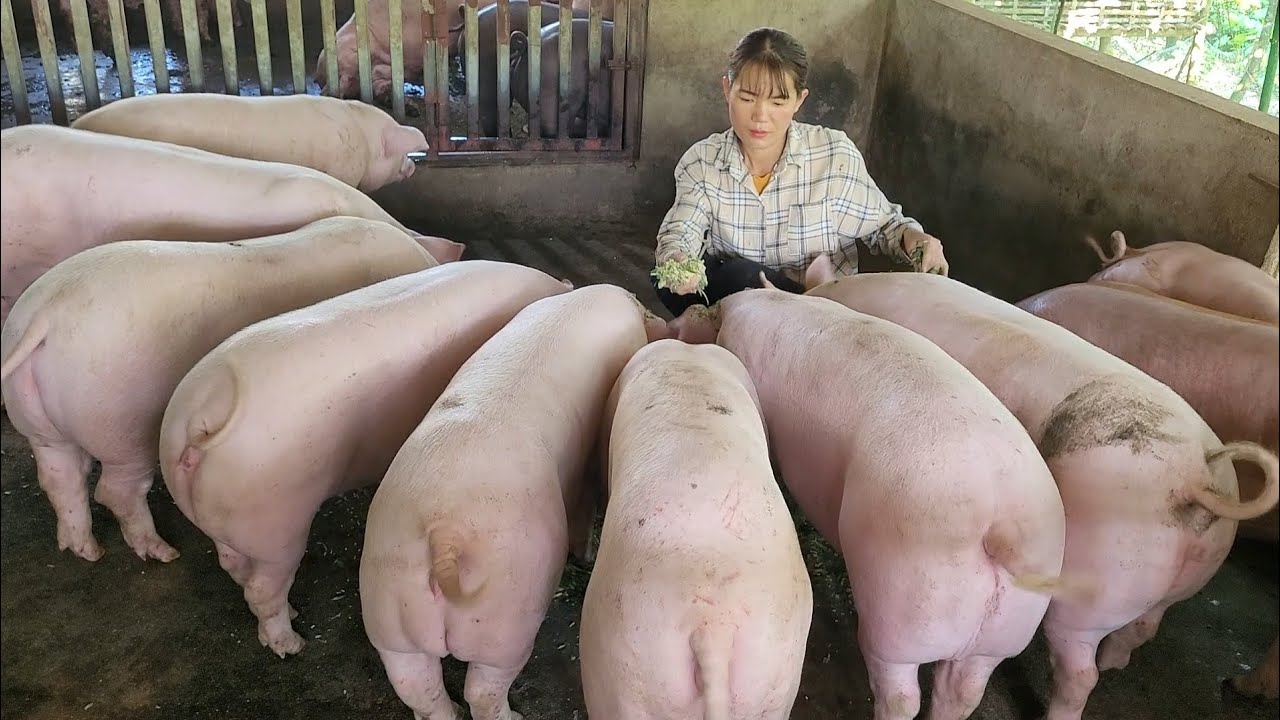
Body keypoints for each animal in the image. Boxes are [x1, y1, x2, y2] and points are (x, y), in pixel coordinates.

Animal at [0, 217, 438, 564]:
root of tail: (44, 315)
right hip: (119, 428)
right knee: (116, 492)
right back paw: (164, 553)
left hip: (41, 425)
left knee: (60, 479)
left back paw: (87, 551)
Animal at [161, 261, 575, 658]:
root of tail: (201, 416)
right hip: (276, 527)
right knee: (263, 588)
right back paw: (291, 645)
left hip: (230, 522)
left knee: (234, 566)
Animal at [358, 283, 655, 718]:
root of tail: (445, 534)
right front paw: (585, 554)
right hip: (510, 616)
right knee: (483, 690)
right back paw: (514, 714)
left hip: (389, 610)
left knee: (420, 688)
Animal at [794, 264, 1279, 720]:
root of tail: (1197, 472)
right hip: (1188, 570)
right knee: (1143, 627)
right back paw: (1117, 662)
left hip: (1098, 581)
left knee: (1079, 670)